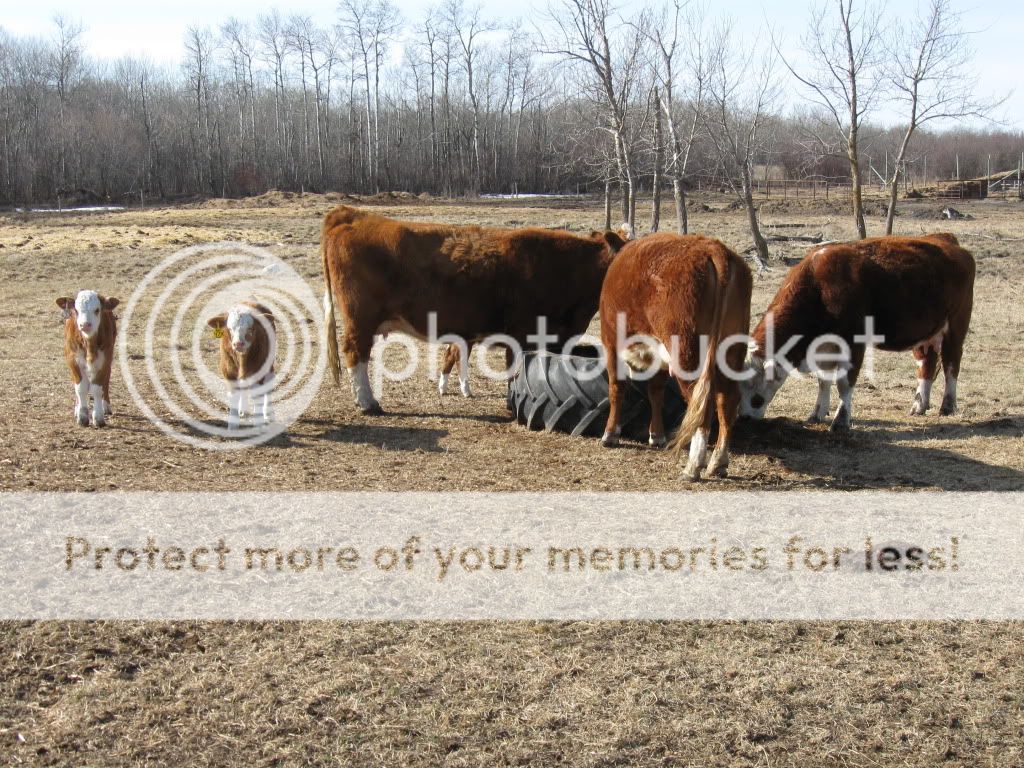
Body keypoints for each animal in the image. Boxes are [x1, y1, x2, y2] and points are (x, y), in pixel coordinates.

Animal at [56, 290, 120, 427]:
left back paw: (106, 406)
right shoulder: (72, 360)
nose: (85, 325)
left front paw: (98, 417)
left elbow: (97, 388)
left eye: (97, 310)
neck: (89, 344)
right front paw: (82, 415)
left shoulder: (104, 360)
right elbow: (81, 387)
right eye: (76, 310)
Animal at [320, 205, 627, 414]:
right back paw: (367, 402)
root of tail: (351, 215)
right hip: (361, 319)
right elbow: (515, 373)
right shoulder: (521, 336)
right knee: (355, 353)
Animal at [599, 234, 753, 481]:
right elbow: (656, 392)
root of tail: (714, 247)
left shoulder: (611, 344)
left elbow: (616, 388)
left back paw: (693, 466)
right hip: (731, 352)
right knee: (727, 401)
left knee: (703, 407)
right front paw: (656, 435)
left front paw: (610, 434)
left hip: (686, 356)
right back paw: (718, 462)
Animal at [739, 233, 975, 431]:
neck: (819, 286)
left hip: (956, 327)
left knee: (951, 364)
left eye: (753, 392)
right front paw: (817, 413)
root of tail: (948, 241)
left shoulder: (853, 344)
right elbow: (823, 380)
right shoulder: (823, 347)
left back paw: (948, 405)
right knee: (926, 366)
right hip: (924, 336)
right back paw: (919, 406)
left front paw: (841, 420)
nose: (744, 418)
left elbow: (844, 383)